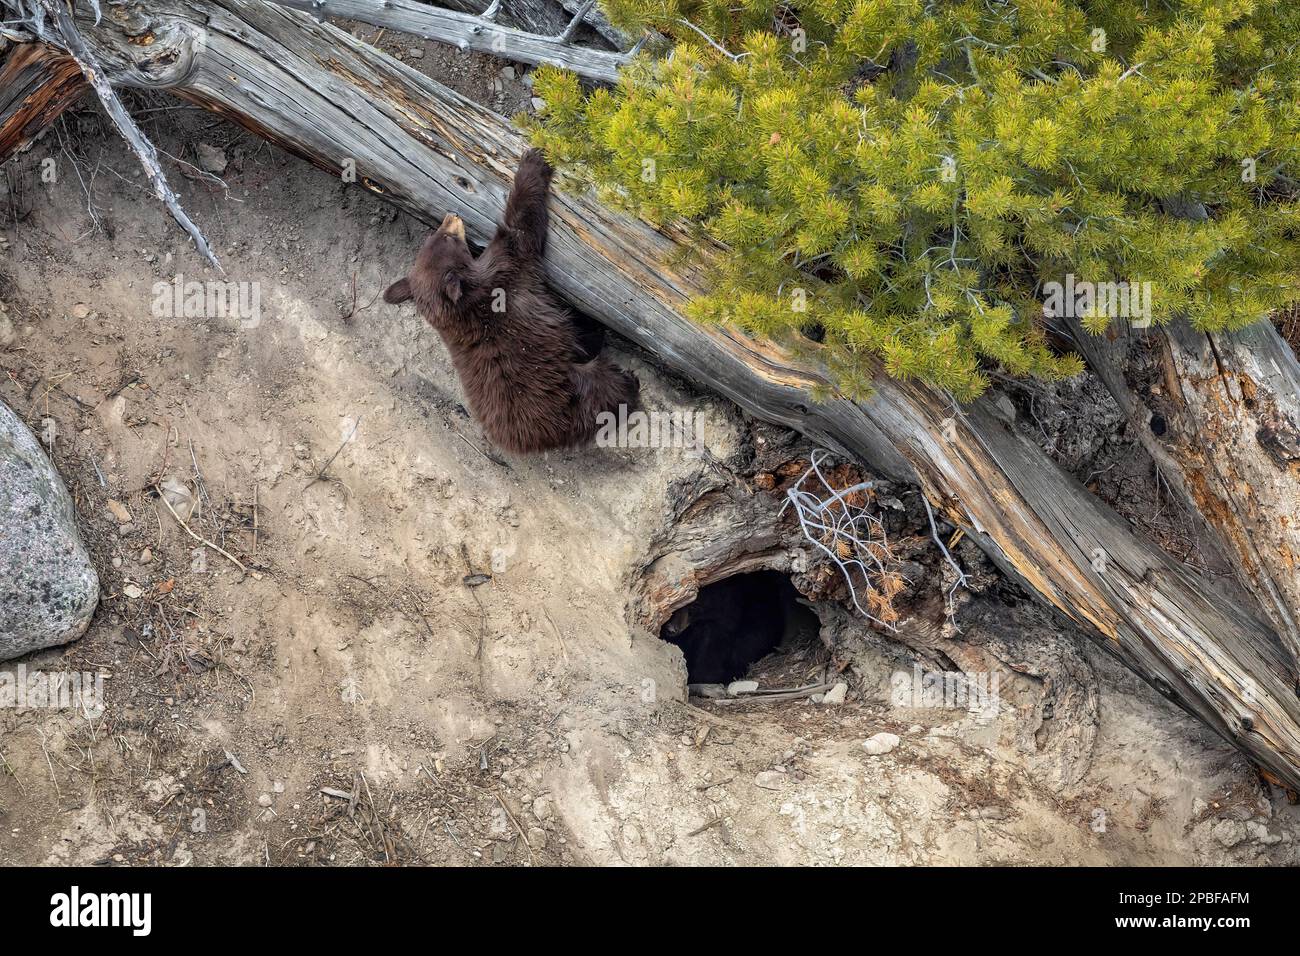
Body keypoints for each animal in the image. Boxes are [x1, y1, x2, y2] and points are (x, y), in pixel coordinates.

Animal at [383, 148, 639, 455]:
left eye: (437, 235)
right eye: (446, 237)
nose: (451, 215)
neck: (463, 306)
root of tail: (530, 441)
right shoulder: (505, 273)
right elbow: (520, 232)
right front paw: (534, 161)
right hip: (573, 390)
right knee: (606, 387)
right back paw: (628, 380)